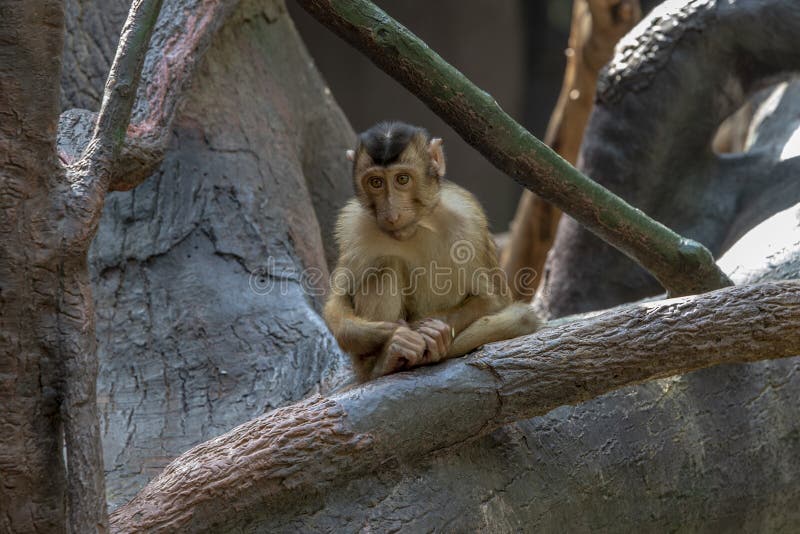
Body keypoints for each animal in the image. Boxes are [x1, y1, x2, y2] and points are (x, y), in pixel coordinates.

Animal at [323, 121, 542, 382]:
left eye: (402, 179)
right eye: (376, 182)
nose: (391, 213)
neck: (414, 227)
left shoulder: (468, 218)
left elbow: (491, 299)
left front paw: (429, 332)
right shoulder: (352, 227)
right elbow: (338, 300)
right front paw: (391, 332)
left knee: (522, 318)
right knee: (384, 265)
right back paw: (387, 360)